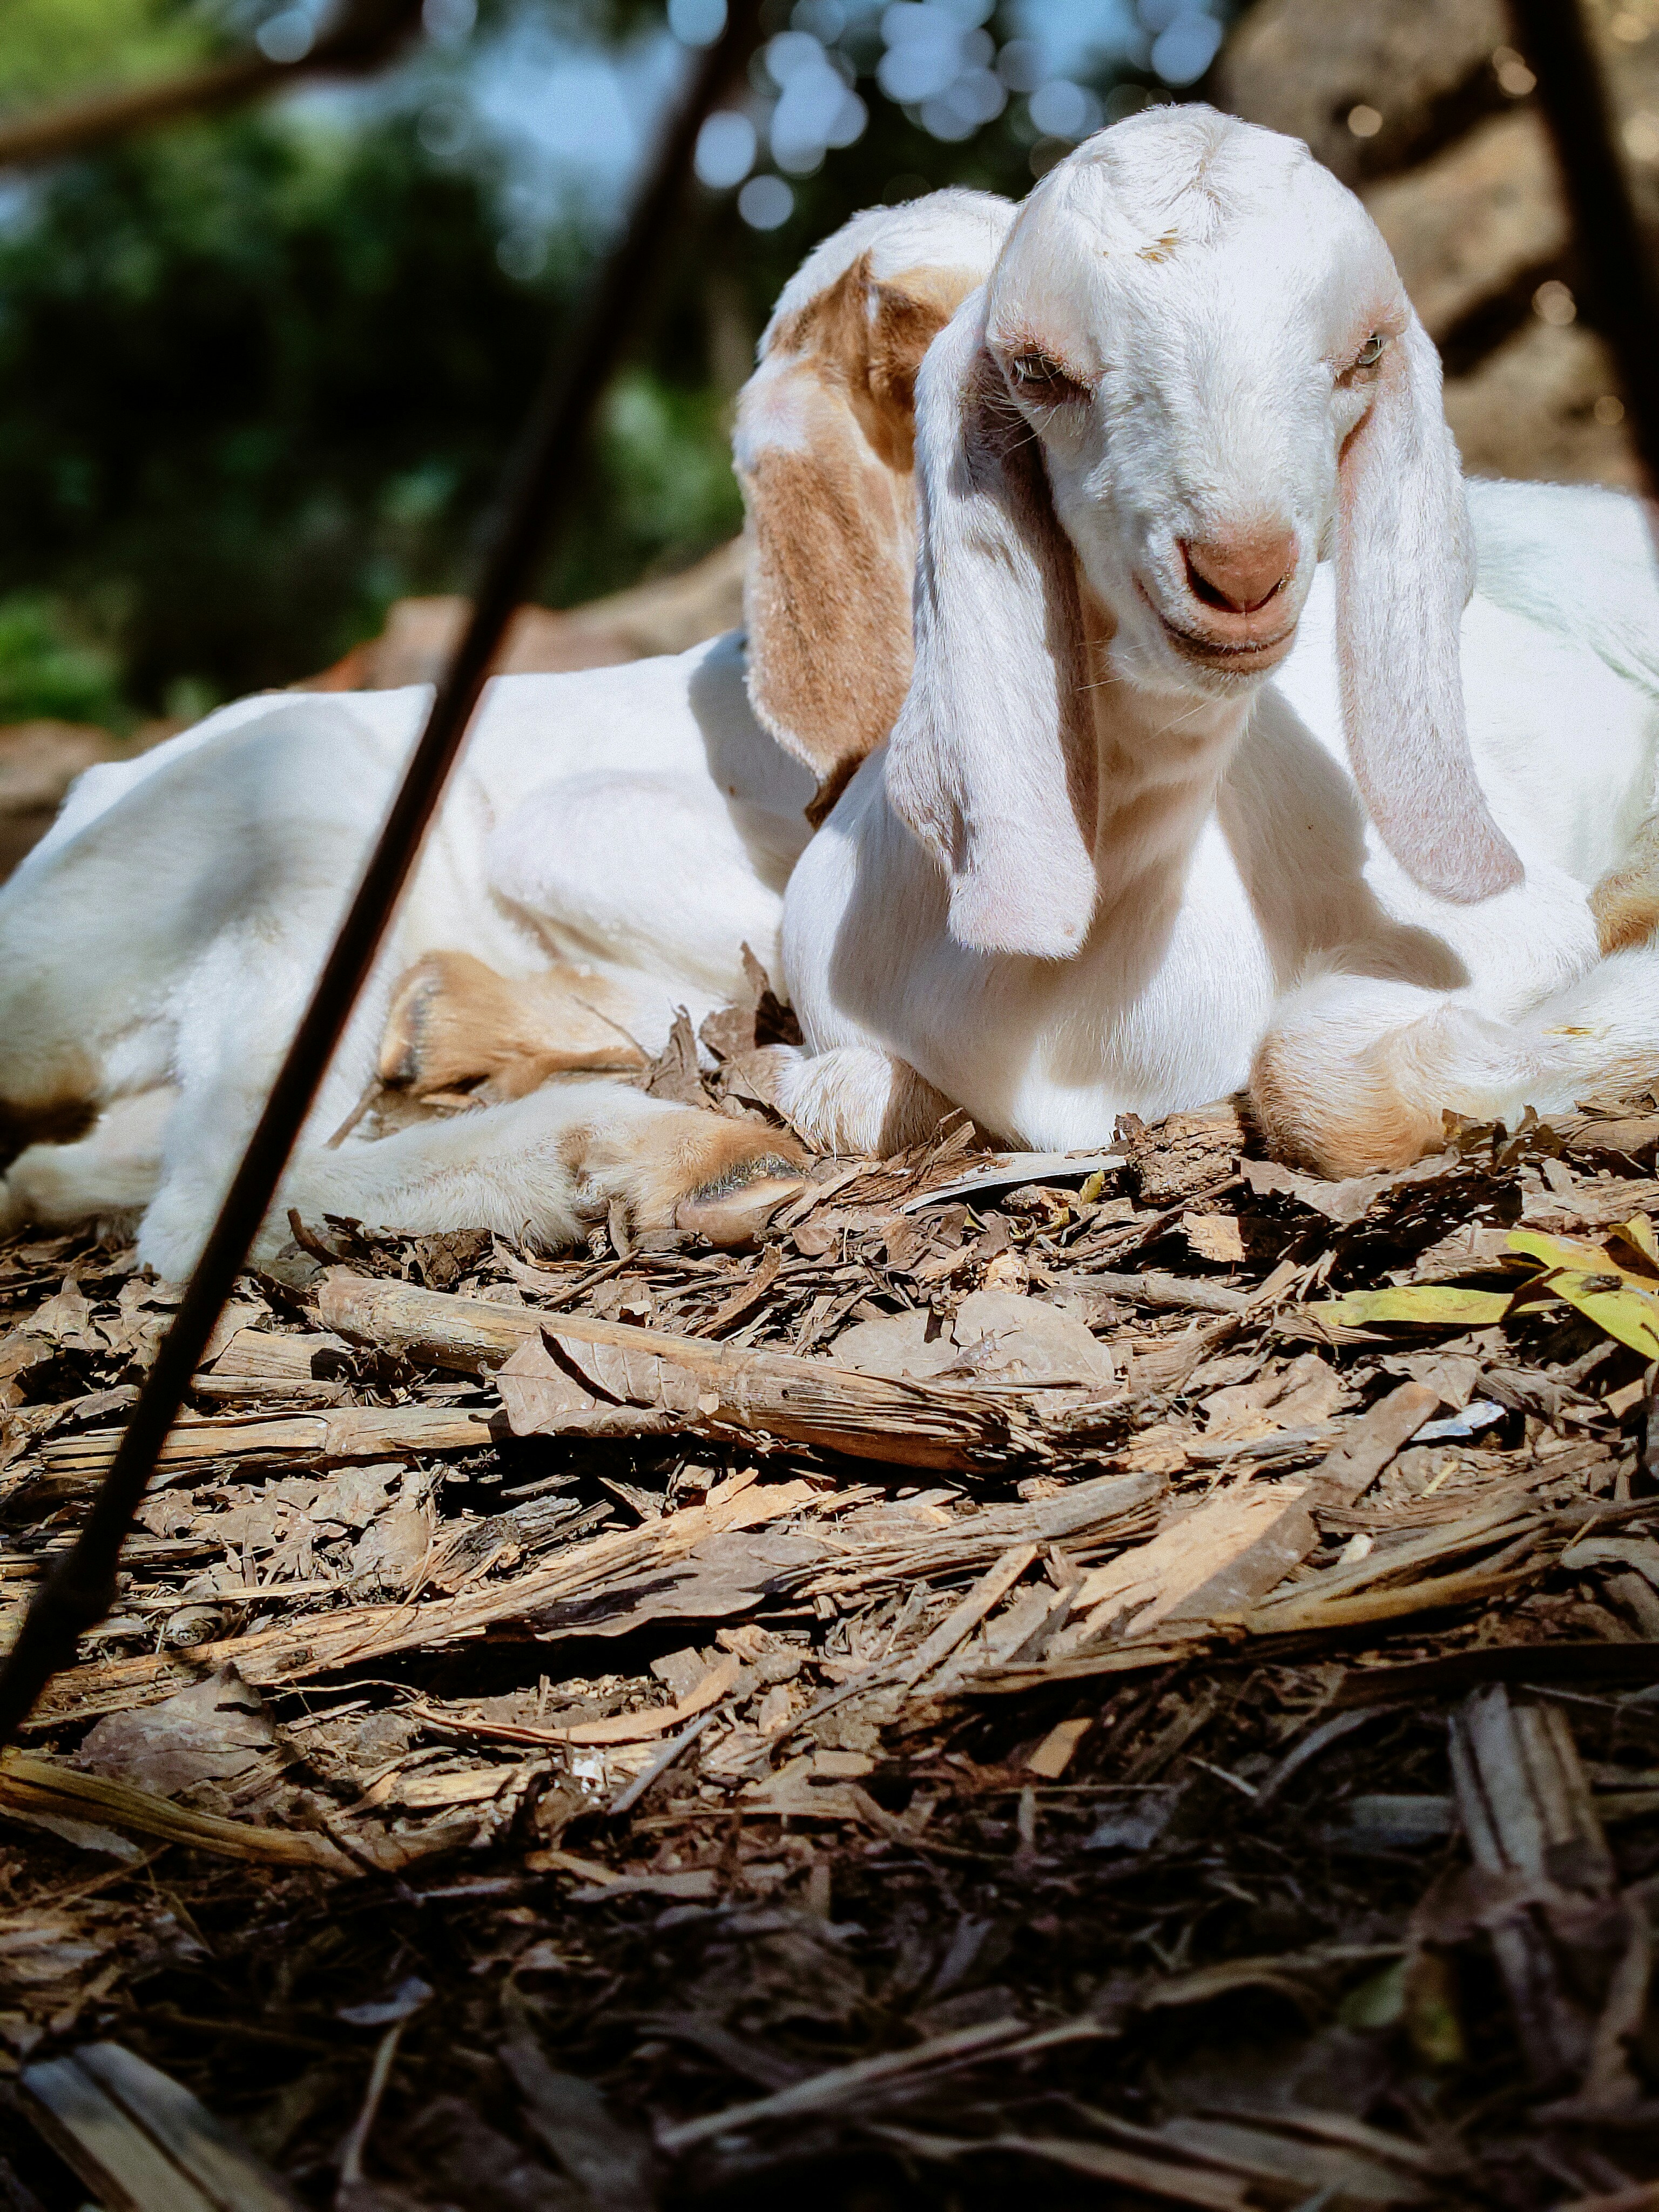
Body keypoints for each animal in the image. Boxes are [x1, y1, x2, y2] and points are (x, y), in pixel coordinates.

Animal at [766, 107, 1659, 1174]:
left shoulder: (1505, 927)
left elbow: (1305, 1070)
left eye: (1366, 354)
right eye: (1036, 371)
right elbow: (841, 1100)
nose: (1241, 573)